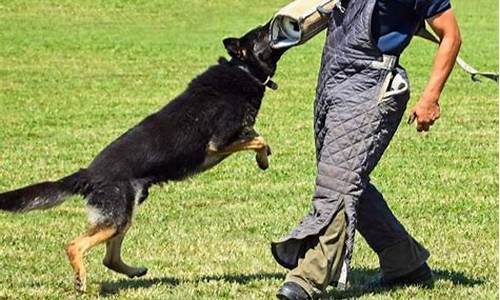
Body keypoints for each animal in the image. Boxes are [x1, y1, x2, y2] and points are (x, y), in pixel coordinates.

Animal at [0, 21, 288, 292]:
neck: (243, 70)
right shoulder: (219, 143)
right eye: (262, 32)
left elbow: (258, 138)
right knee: (74, 245)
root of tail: (88, 174)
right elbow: (259, 139)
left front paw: (264, 158)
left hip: (127, 211)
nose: (274, 21)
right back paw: (81, 280)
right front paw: (263, 158)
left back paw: (134, 271)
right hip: (116, 216)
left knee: (109, 258)